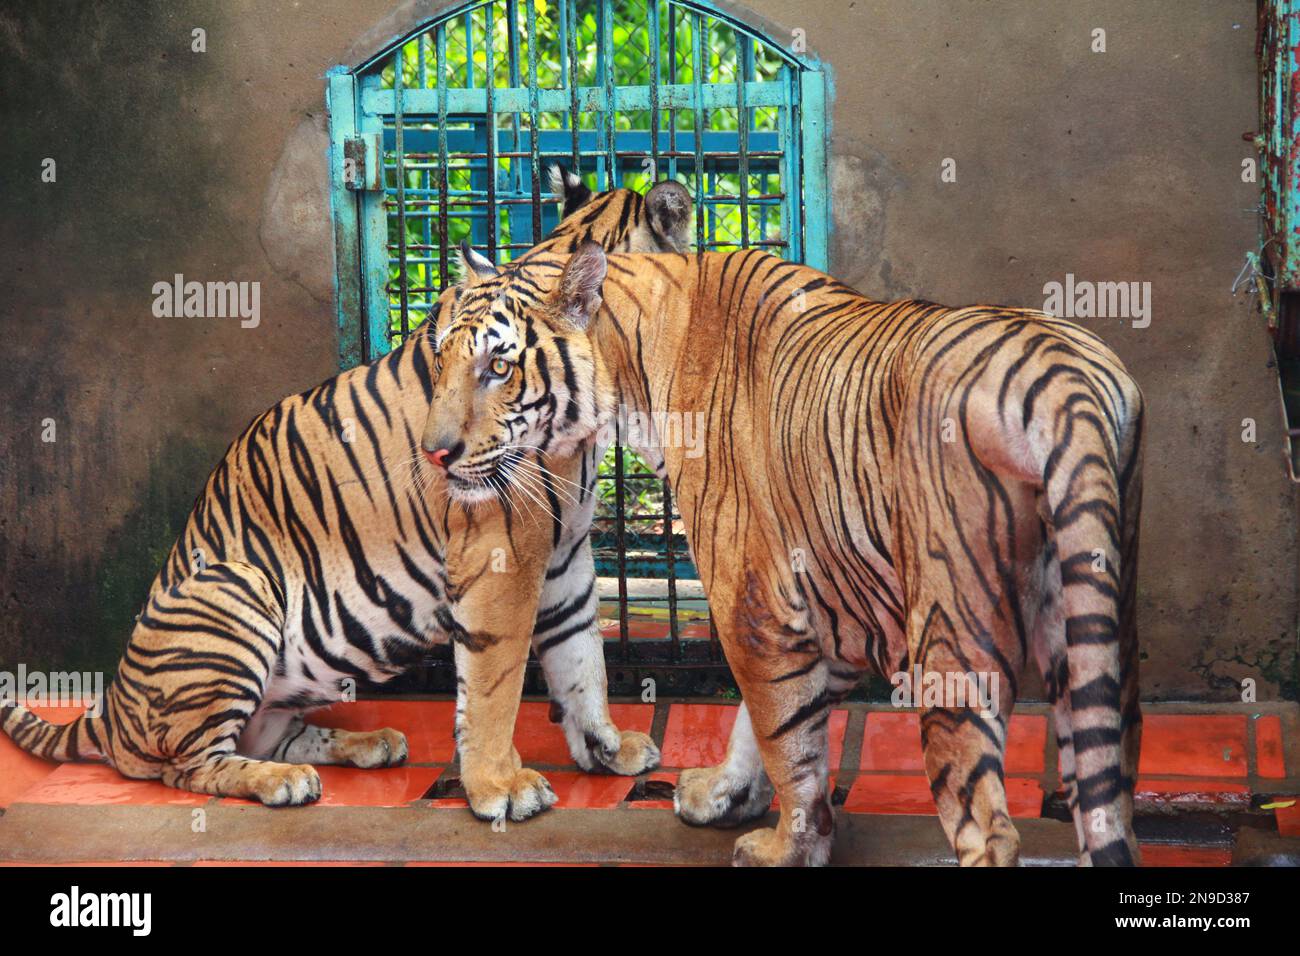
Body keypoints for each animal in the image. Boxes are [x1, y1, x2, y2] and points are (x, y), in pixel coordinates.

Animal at [0, 168, 693, 823]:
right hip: (236, 588)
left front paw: (607, 749)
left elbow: (583, 661)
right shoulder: (500, 558)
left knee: (266, 734)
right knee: (186, 766)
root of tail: (110, 706)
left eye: (498, 368)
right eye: (454, 367)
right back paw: (283, 783)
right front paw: (500, 788)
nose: (436, 455)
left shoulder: (567, 553)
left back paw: (370, 745)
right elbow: (496, 686)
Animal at [428, 242, 1144, 866]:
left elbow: (786, 740)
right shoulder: (829, 603)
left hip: (953, 638)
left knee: (988, 831)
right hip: (1096, 639)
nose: (434, 452)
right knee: (1107, 804)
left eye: (498, 367)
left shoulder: (753, 599)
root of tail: (1068, 383)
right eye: (441, 363)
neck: (632, 364)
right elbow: (766, 724)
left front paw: (787, 848)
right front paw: (725, 796)